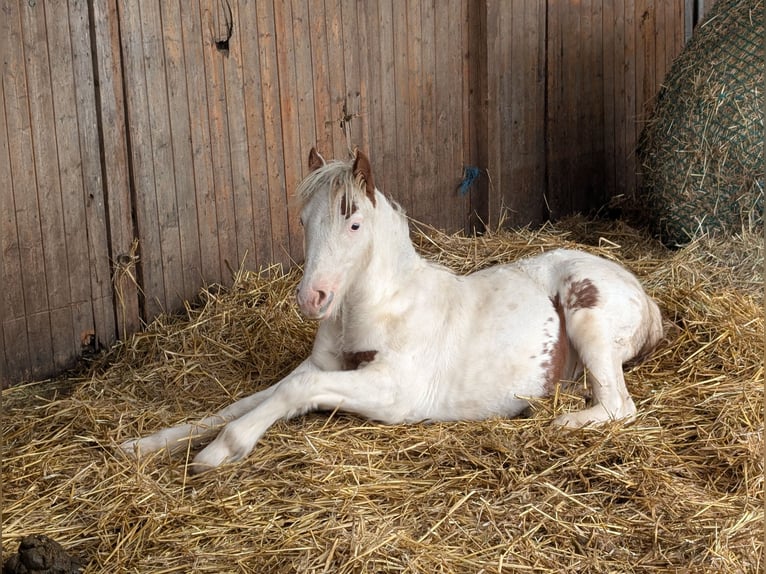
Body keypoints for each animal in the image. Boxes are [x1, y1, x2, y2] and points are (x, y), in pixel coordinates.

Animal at [120, 148, 663, 473]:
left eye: (354, 223)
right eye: (303, 220)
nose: (311, 298)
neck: (379, 307)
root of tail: (646, 296)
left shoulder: (394, 392)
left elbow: (294, 393)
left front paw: (220, 450)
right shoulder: (322, 365)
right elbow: (243, 401)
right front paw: (143, 444)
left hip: (589, 316)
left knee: (619, 405)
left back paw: (561, 421)